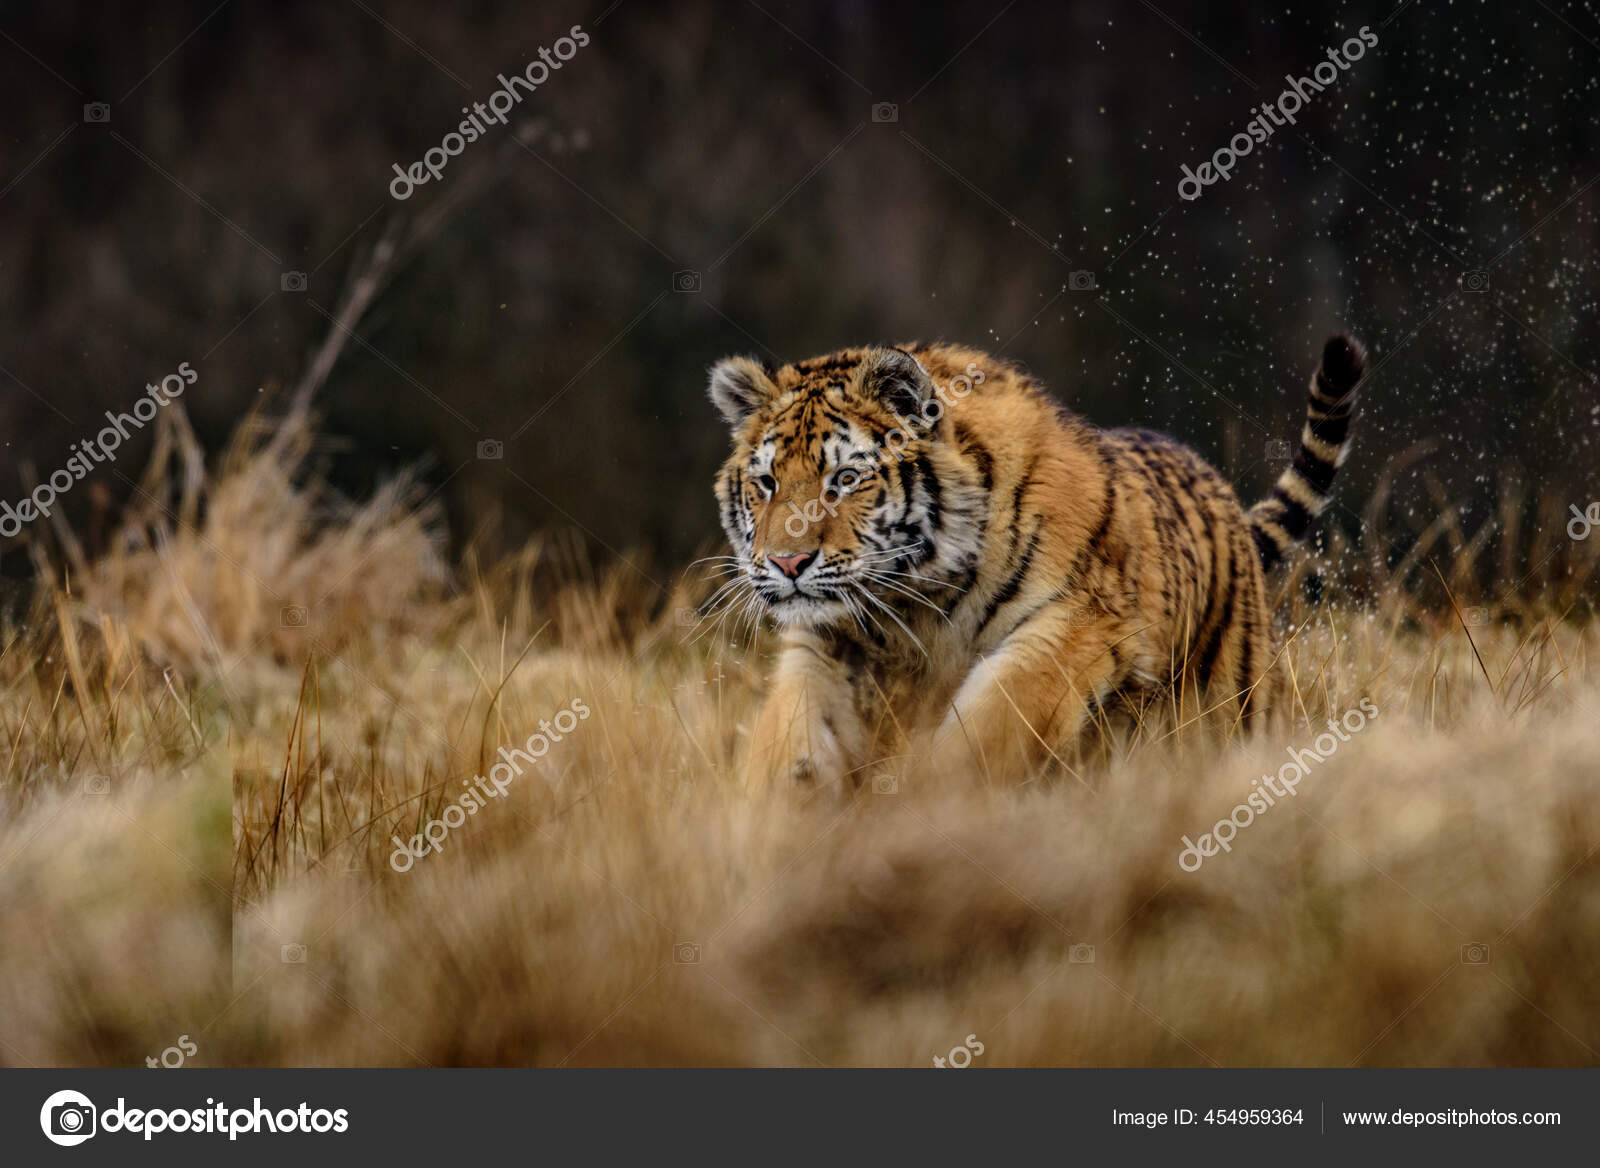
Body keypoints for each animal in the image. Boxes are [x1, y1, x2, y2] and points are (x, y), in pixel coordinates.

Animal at [706, 333, 1366, 792]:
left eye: (845, 479)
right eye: (766, 483)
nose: (788, 563)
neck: (912, 605)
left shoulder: (1074, 626)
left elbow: (991, 726)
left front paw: (925, 801)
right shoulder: (823, 643)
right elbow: (789, 741)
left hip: (1230, 706)